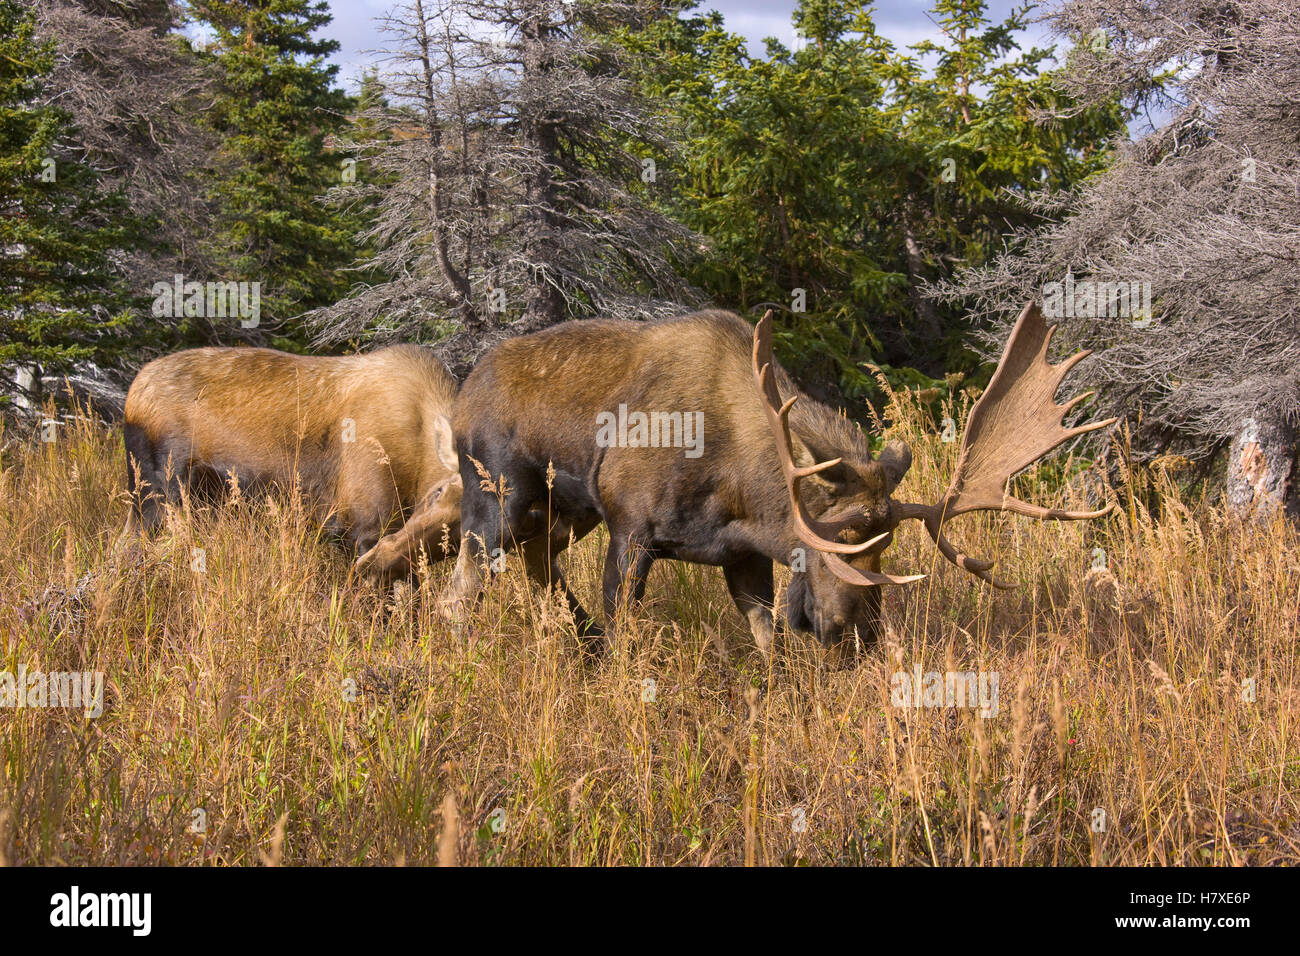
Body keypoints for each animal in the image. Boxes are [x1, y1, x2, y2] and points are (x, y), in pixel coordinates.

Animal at [438, 303, 1114, 652]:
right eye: (844, 541)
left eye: (888, 544)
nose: (859, 634)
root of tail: (462, 394)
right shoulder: (630, 527)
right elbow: (626, 625)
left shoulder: (741, 554)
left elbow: (768, 642)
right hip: (498, 495)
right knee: (462, 583)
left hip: (563, 514)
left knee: (537, 564)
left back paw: (577, 642)